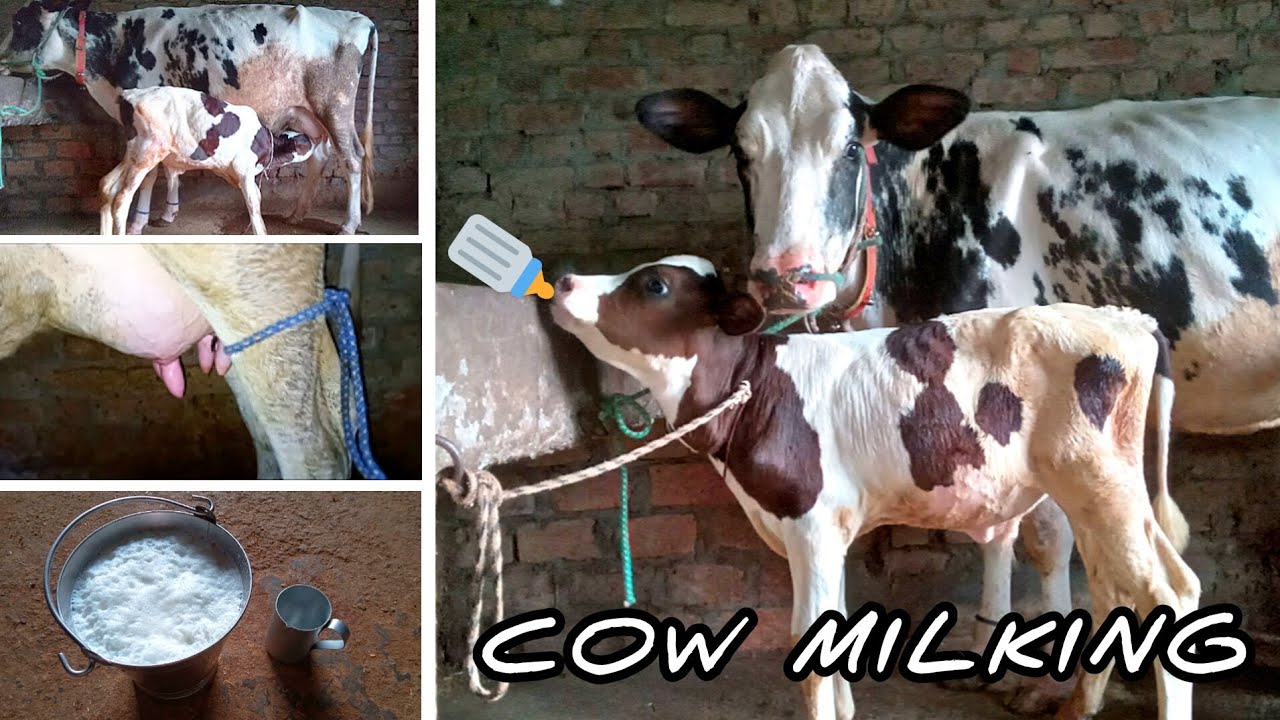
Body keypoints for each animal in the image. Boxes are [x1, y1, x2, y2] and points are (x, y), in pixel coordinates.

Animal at [100, 86, 329, 235]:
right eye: (305, 141)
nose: (318, 138)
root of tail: (130, 94)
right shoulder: (244, 170)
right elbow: (254, 205)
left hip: (134, 153)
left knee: (107, 185)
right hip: (149, 151)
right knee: (121, 198)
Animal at [551, 254, 1199, 720]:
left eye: (655, 284)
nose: (562, 279)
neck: (754, 386)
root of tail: (1123, 317)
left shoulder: (810, 521)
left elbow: (808, 646)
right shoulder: (825, 528)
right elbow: (830, 634)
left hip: (1096, 479)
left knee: (1165, 592)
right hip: (1102, 492)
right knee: (1121, 587)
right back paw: (1076, 708)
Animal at [636, 43, 1278, 710]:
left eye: (850, 147)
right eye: (741, 152)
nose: (787, 276)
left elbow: (1042, 533)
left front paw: (1045, 682)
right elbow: (997, 529)